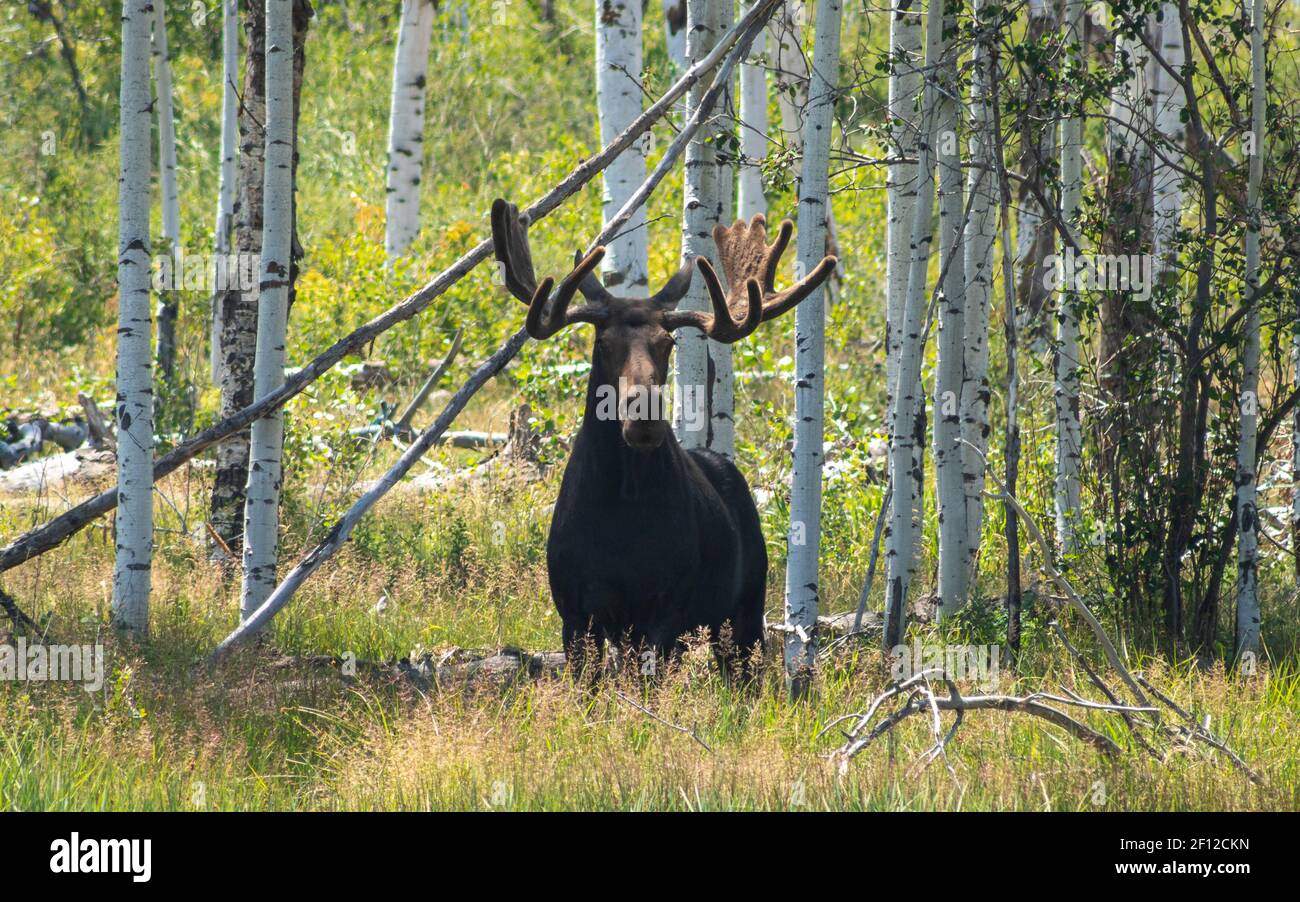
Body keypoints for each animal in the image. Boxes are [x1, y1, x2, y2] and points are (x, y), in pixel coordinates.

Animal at [490, 198, 836, 677]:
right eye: (602, 342)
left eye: (668, 342)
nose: (644, 417)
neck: (623, 505)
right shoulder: (574, 613)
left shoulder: (667, 609)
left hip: (745, 608)